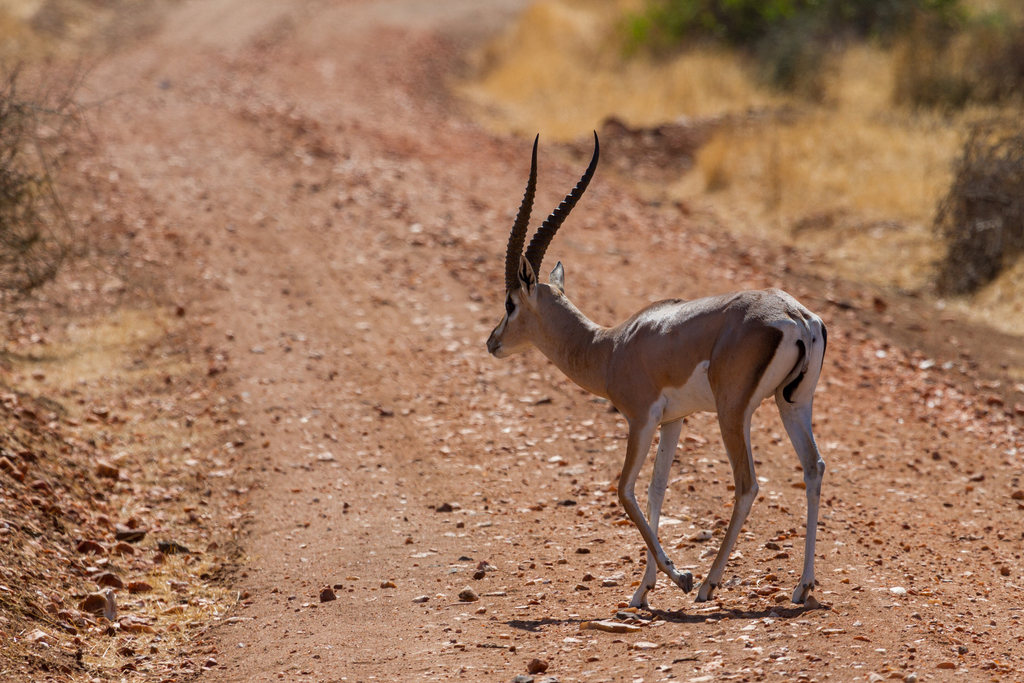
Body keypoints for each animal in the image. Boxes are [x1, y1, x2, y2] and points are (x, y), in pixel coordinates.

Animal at [486, 134, 828, 609]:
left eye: (510, 303)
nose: (492, 342)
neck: (609, 347)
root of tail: (796, 315)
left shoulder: (641, 418)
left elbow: (625, 489)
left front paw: (678, 576)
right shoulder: (673, 421)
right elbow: (656, 491)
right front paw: (642, 590)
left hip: (733, 412)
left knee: (747, 484)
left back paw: (707, 585)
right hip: (792, 403)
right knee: (813, 467)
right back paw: (802, 586)